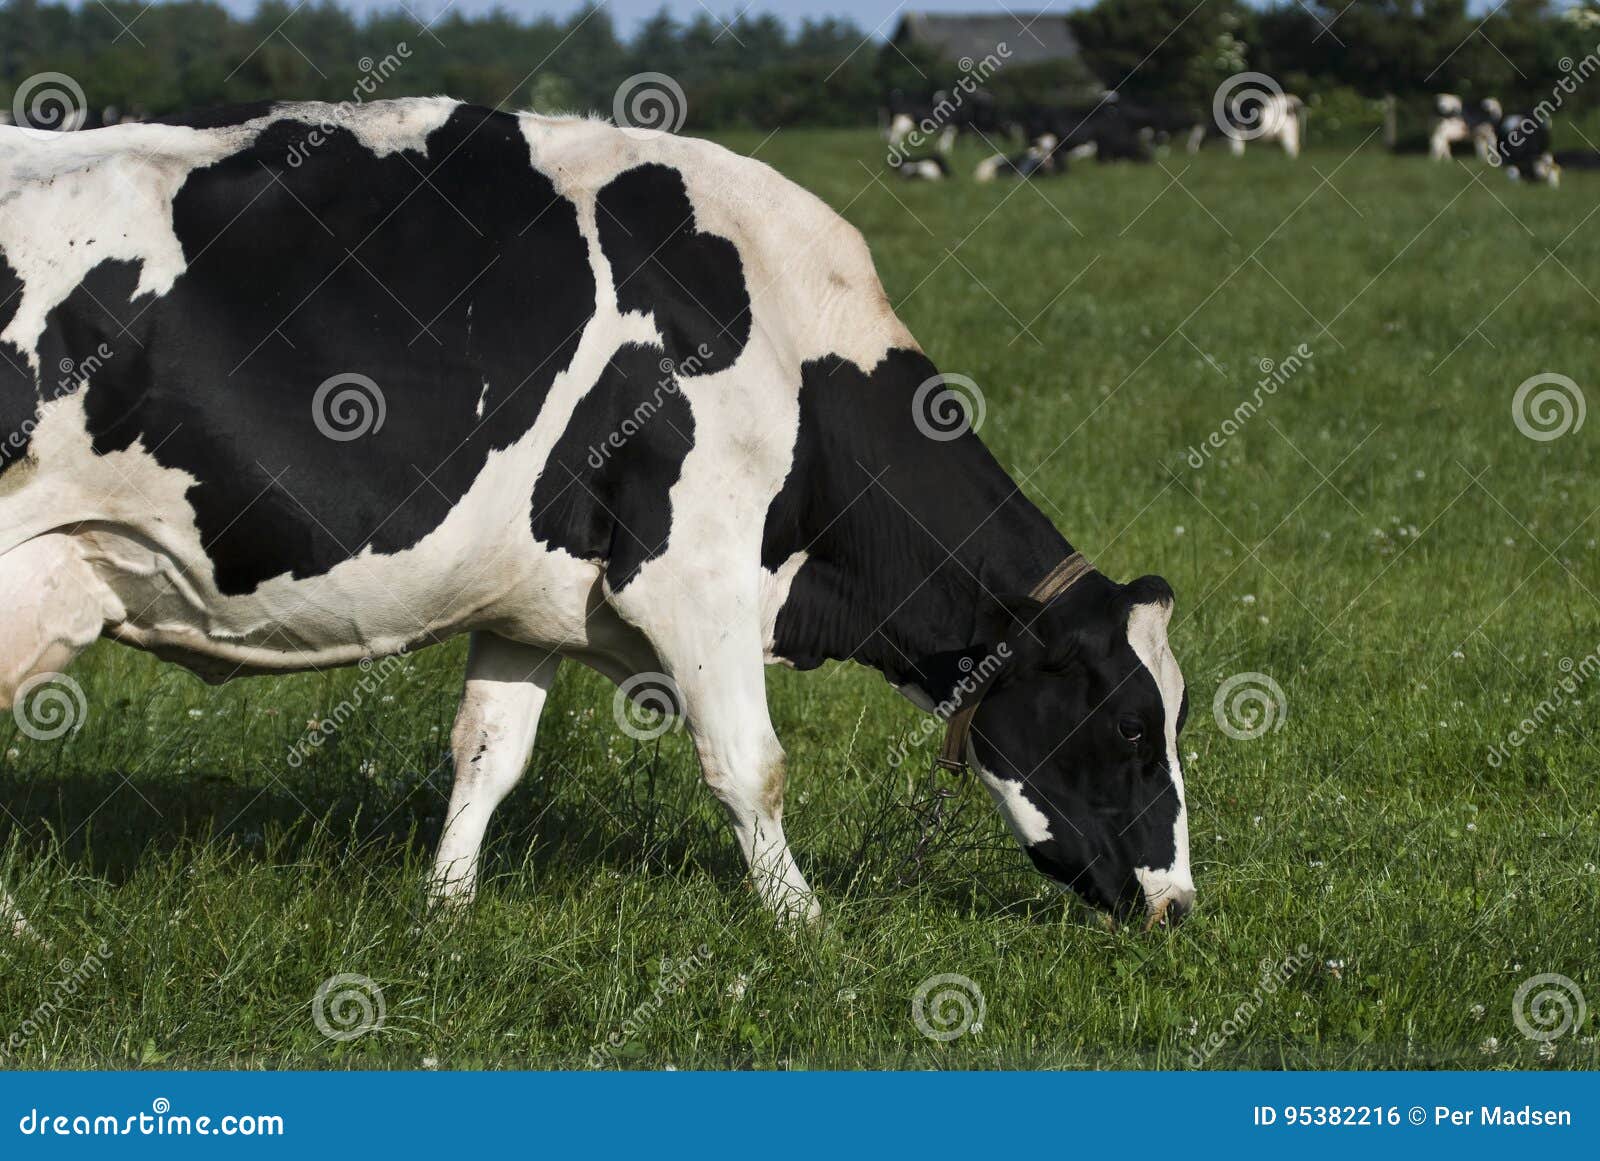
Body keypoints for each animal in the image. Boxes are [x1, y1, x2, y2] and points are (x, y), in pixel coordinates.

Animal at [0, 98, 1194, 935]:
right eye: (1135, 727)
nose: (1179, 905)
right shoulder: (693, 574)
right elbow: (751, 763)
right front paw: (806, 926)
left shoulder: (526, 597)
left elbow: (487, 751)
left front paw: (445, 909)